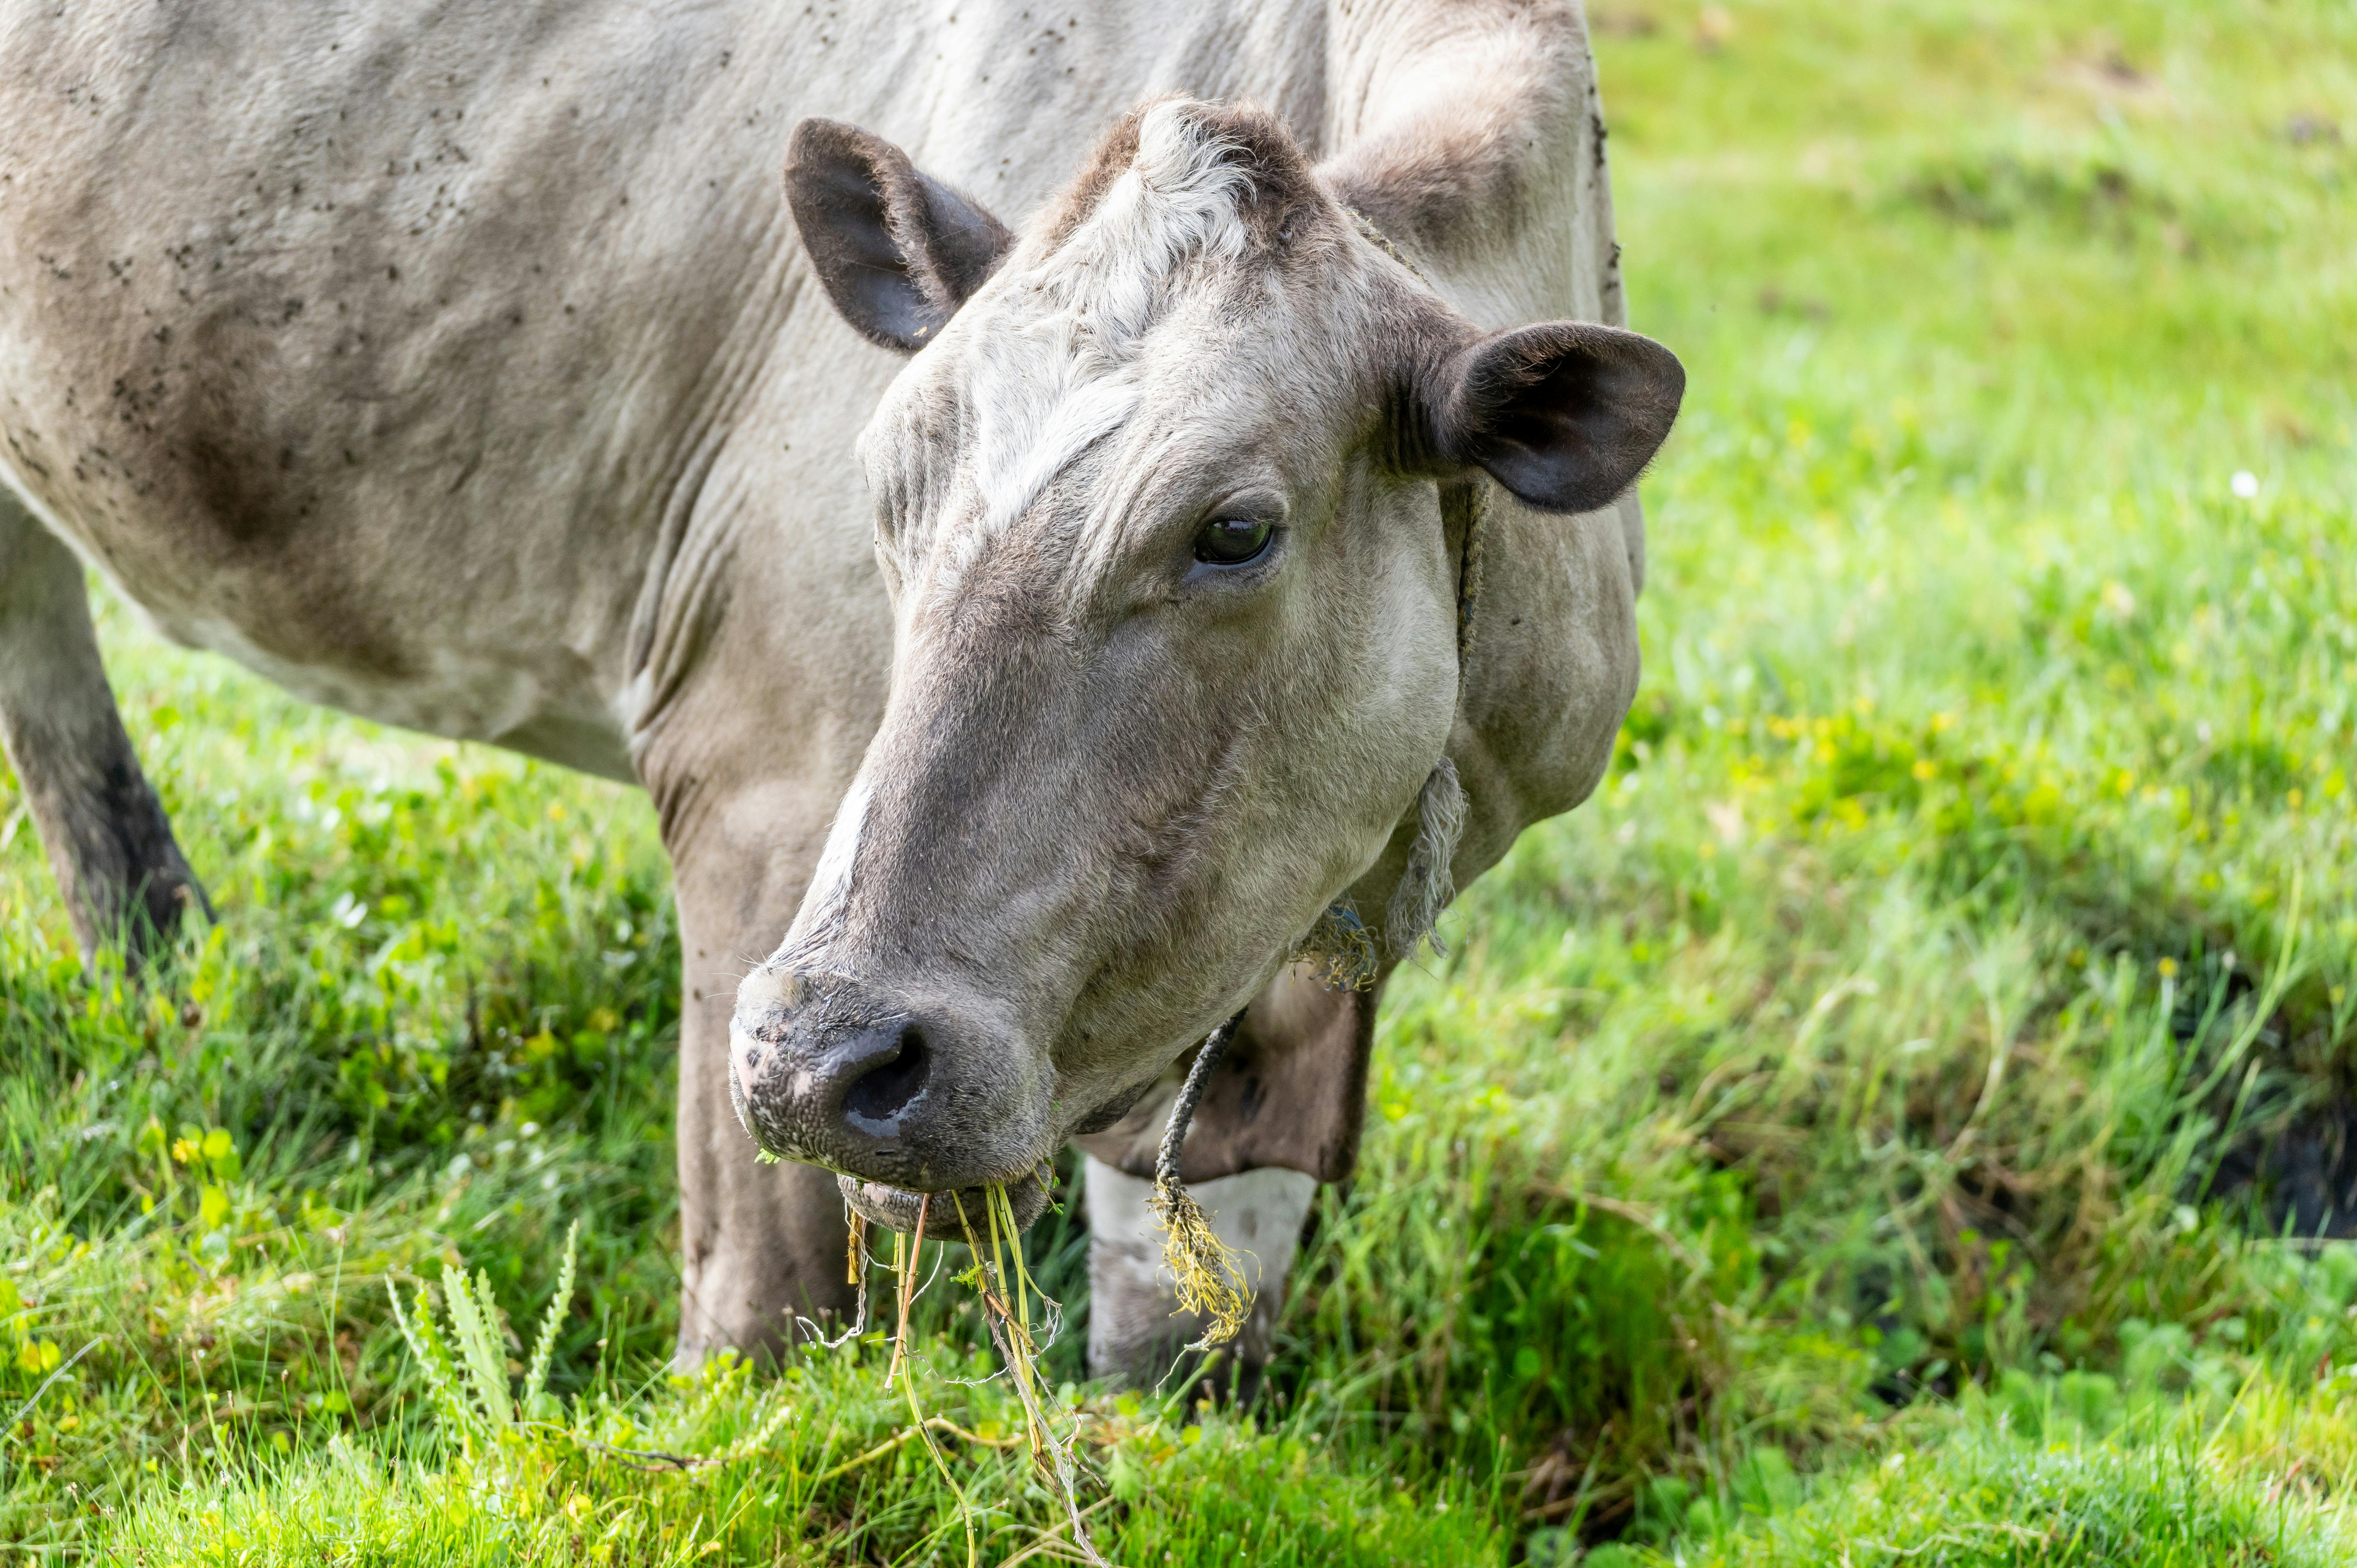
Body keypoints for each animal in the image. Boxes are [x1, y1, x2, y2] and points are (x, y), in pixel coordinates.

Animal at [0, 0, 1680, 1388]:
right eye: (885, 480)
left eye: (1235, 529)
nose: (831, 1059)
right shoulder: (760, 786)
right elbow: (755, 1312)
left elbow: (1180, 1334)